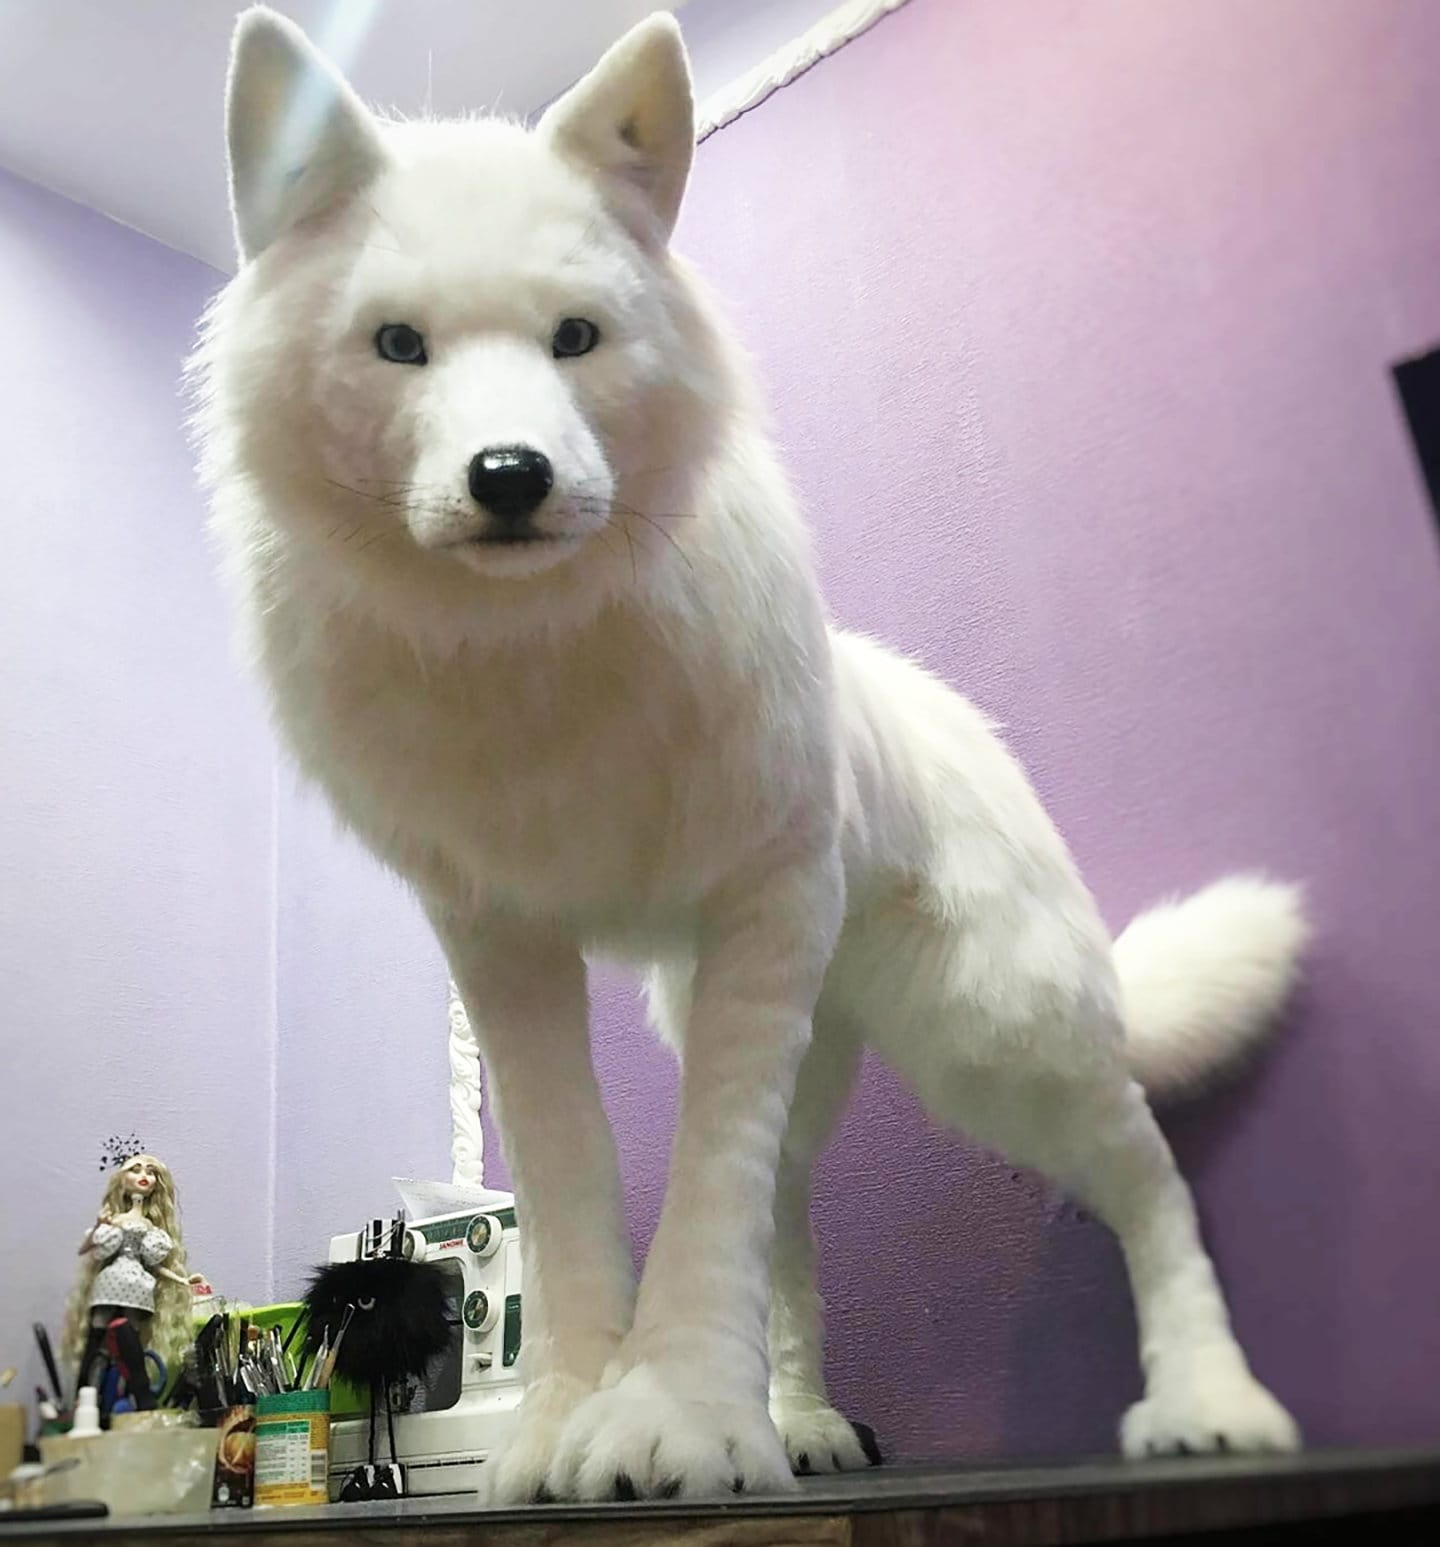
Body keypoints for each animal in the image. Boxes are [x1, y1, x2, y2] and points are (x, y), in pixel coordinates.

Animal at [195, 6, 1306, 1503]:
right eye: (398, 344)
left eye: (576, 337)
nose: (510, 476)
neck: (533, 654)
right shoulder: (503, 946)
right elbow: (572, 1188)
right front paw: (565, 1430)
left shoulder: (759, 908)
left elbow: (702, 1200)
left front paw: (675, 1424)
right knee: (794, 1247)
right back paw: (806, 1424)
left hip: (1000, 1042)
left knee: (1150, 1175)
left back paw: (1212, 1401)